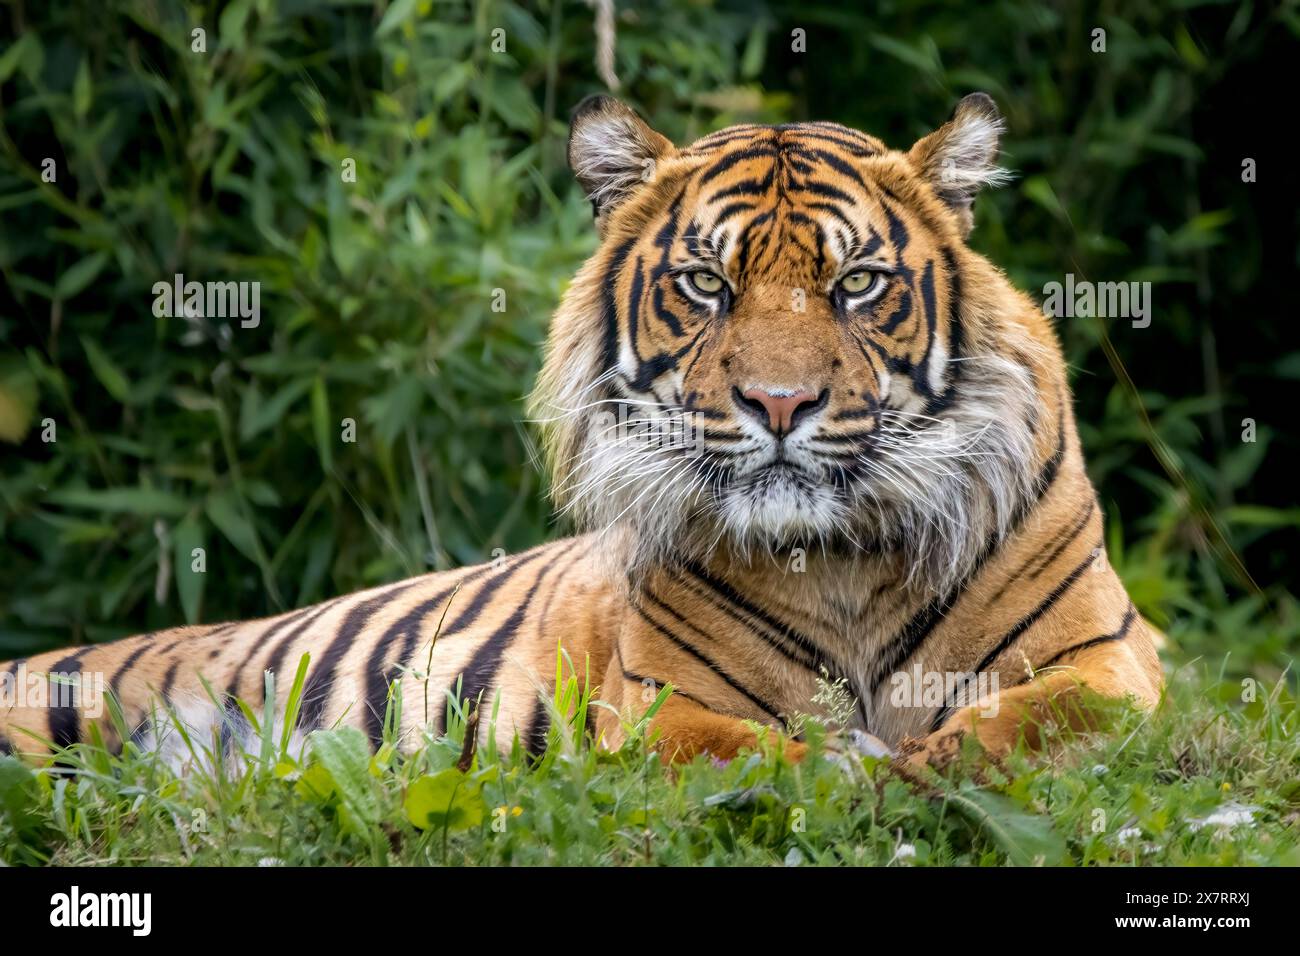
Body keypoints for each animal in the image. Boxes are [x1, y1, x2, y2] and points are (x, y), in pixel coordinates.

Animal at [0, 93, 1162, 772]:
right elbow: (766, 757)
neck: (838, 559)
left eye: (857, 284)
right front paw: (859, 767)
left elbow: (1022, 723)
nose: (779, 404)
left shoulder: (1110, 666)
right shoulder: (664, 707)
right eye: (707, 284)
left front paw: (926, 762)